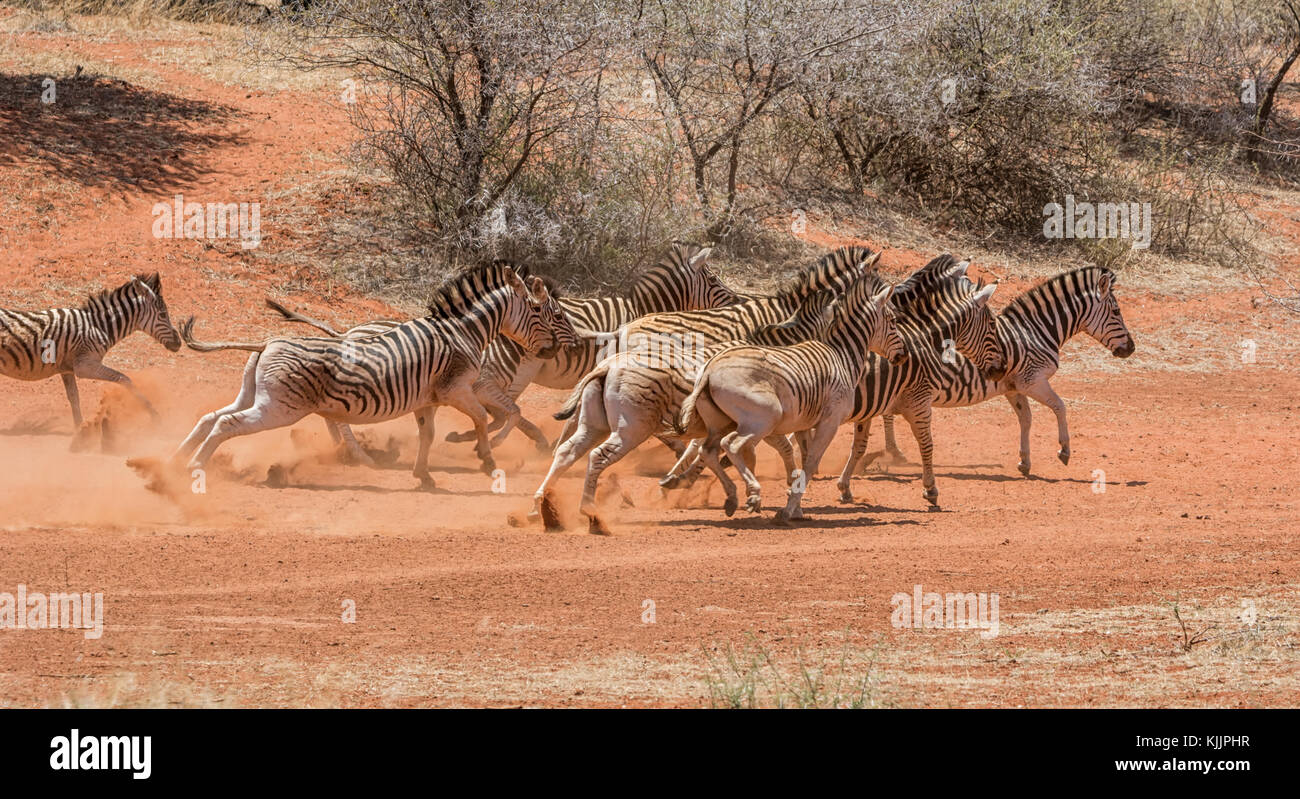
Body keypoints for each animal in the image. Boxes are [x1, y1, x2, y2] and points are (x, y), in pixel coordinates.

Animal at [0, 272, 181, 433]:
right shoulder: (85, 366)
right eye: (163, 315)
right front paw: (155, 416)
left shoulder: (67, 369)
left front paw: (79, 428)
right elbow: (124, 379)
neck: (99, 327)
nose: (179, 342)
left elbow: (74, 397)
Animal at [172, 263, 566, 488]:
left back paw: (174, 458)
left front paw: (423, 476)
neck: (462, 331)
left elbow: (428, 435)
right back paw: (194, 466)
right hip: (279, 408)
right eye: (542, 311)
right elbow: (484, 418)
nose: (553, 350)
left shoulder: (428, 399)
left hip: (255, 395)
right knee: (228, 424)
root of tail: (267, 342)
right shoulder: (457, 389)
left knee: (212, 416)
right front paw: (486, 460)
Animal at [530, 246, 876, 531]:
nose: (737, 299)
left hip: (600, 413)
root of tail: (622, 332)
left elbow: (773, 451)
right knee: (594, 450)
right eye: (712, 278)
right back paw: (585, 509)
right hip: (631, 424)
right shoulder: (769, 416)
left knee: (571, 444)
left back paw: (543, 503)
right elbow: (777, 450)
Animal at [676, 269, 906, 525]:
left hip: (720, 424)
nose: (904, 355)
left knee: (708, 451)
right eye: (893, 321)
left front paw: (796, 508)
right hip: (763, 419)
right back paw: (752, 493)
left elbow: (804, 461)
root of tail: (709, 369)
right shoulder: (830, 422)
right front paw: (788, 510)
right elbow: (812, 461)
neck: (842, 356)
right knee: (731, 446)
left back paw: (732, 498)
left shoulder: (803, 425)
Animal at [869, 266, 1134, 477]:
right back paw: (891, 453)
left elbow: (1026, 418)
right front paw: (1064, 450)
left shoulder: (1013, 387)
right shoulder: (1033, 380)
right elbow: (1060, 406)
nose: (1131, 348)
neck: (1035, 331)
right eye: (1116, 312)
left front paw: (1024, 461)